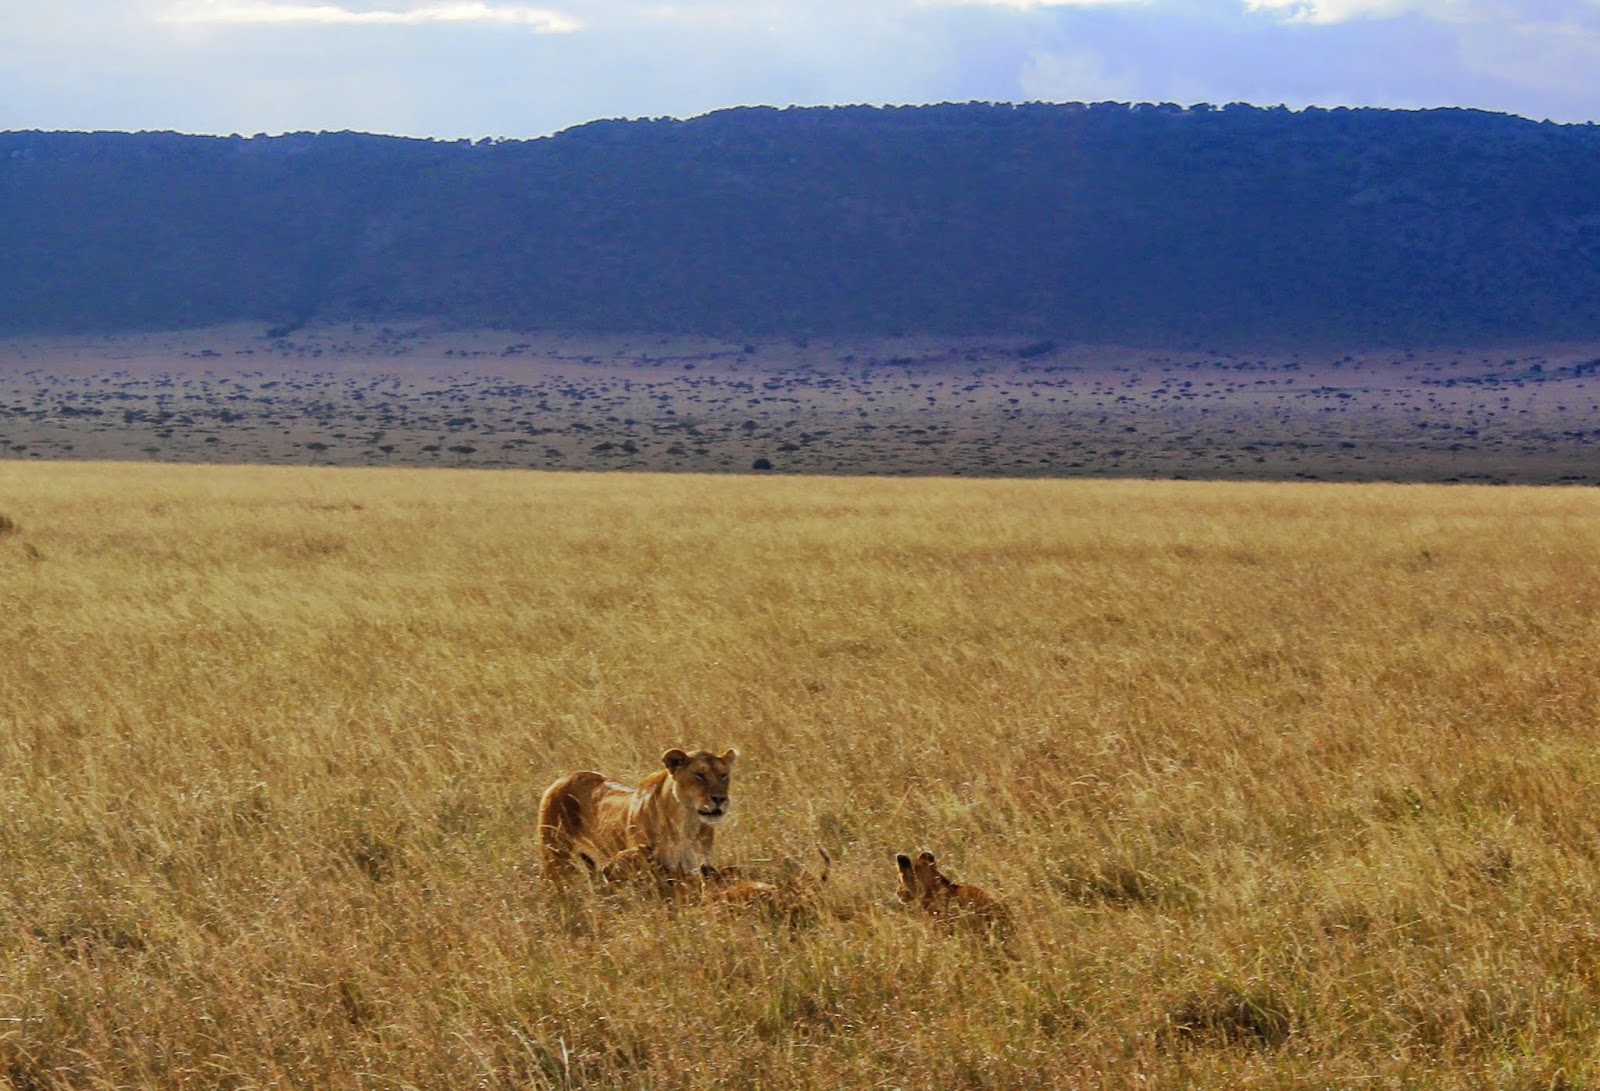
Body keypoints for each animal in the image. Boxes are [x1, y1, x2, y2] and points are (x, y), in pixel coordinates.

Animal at [538, 747, 737, 884]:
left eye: (724, 775)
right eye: (700, 775)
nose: (720, 798)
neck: (687, 822)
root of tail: (564, 777)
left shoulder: (697, 866)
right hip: (555, 858)